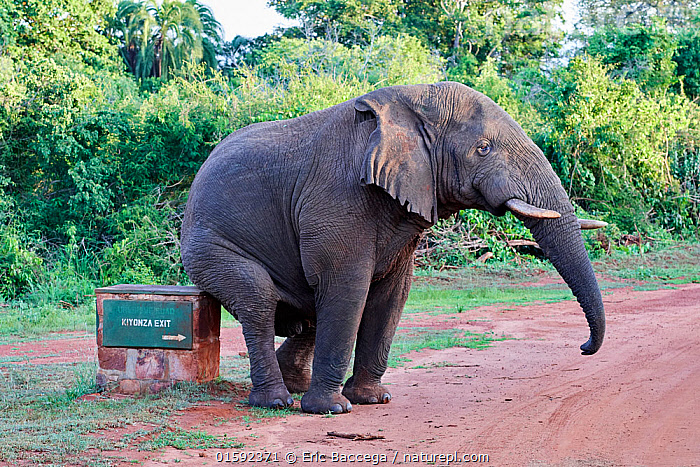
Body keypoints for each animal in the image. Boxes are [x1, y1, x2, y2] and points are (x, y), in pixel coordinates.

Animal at [181, 82, 606, 414]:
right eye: (483, 148)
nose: (584, 347)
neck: (412, 99)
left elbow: (392, 293)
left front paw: (372, 400)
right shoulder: (338, 196)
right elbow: (347, 287)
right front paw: (332, 410)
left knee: (306, 312)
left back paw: (295, 387)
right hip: (206, 248)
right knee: (259, 299)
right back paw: (277, 401)